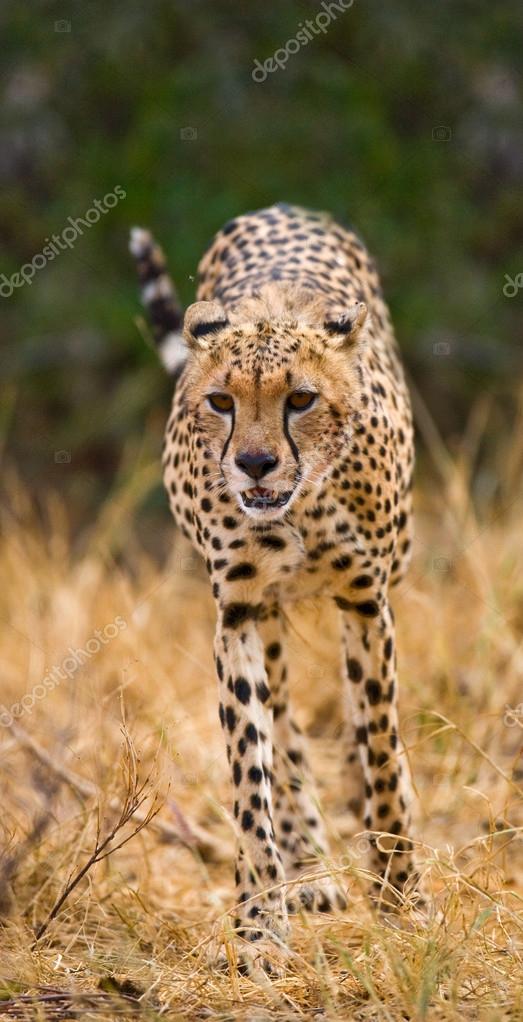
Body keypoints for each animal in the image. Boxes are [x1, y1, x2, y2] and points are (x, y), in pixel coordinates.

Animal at [130, 202, 418, 971]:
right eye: (220, 401)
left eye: (301, 399)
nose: (255, 464)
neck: (303, 505)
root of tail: (282, 207)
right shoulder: (238, 613)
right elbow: (250, 772)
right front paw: (261, 922)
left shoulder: (366, 602)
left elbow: (381, 749)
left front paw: (402, 898)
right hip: (268, 622)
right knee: (285, 728)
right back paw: (309, 869)